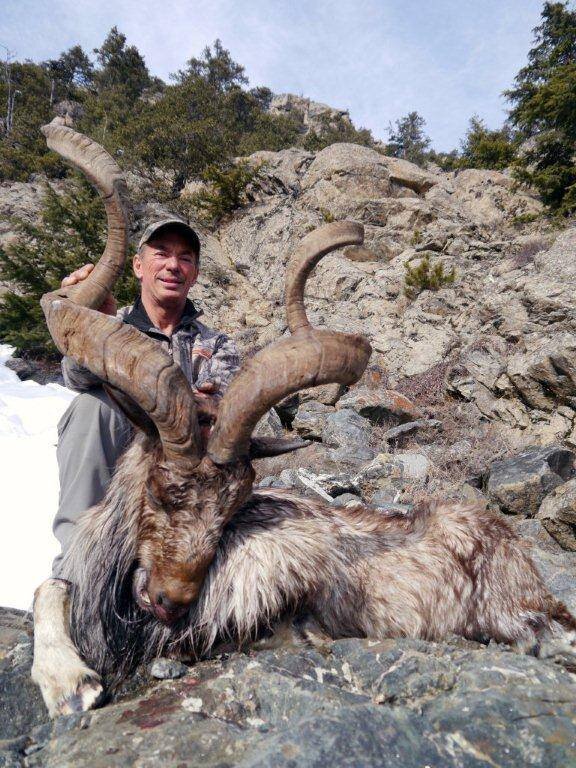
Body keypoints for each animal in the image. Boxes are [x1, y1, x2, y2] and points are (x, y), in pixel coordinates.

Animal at [32, 123, 576, 718]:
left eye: (233, 509)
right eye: (160, 491)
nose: (170, 603)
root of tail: (527, 568)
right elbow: (48, 588)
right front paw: (70, 682)